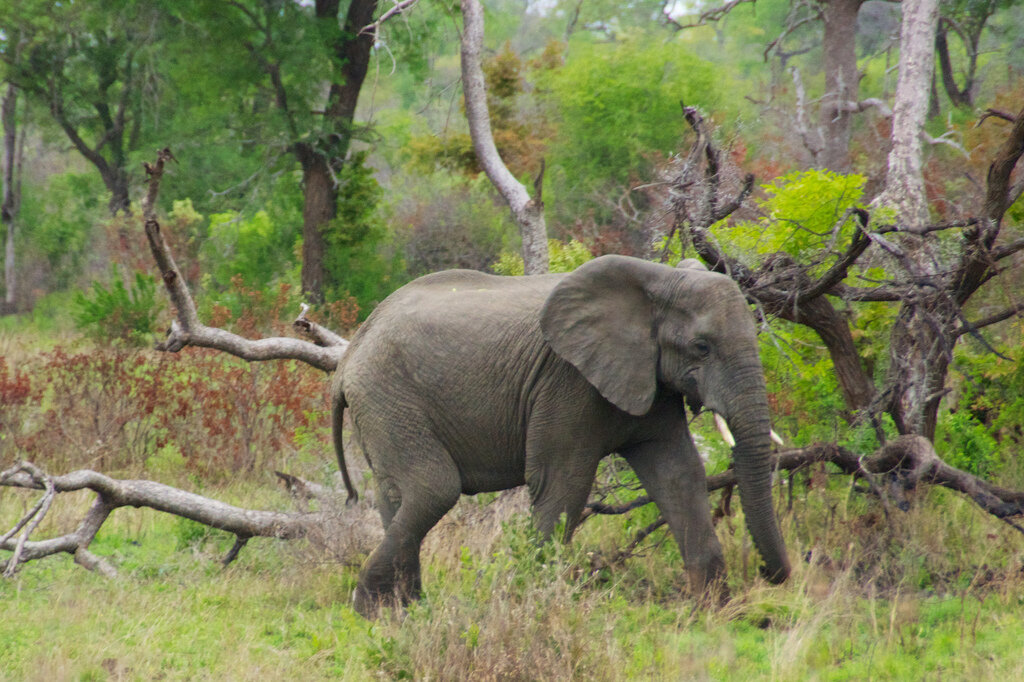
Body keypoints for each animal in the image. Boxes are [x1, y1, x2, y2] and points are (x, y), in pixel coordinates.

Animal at [331, 254, 791, 617]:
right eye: (701, 347)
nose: (768, 573)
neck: (658, 280)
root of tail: (351, 351)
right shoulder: (567, 382)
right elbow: (563, 482)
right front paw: (528, 602)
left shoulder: (652, 379)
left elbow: (678, 474)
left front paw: (714, 611)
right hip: (387, 394)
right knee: (434, 488)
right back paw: (372, 609)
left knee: (399, 496)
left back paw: (405, 609)